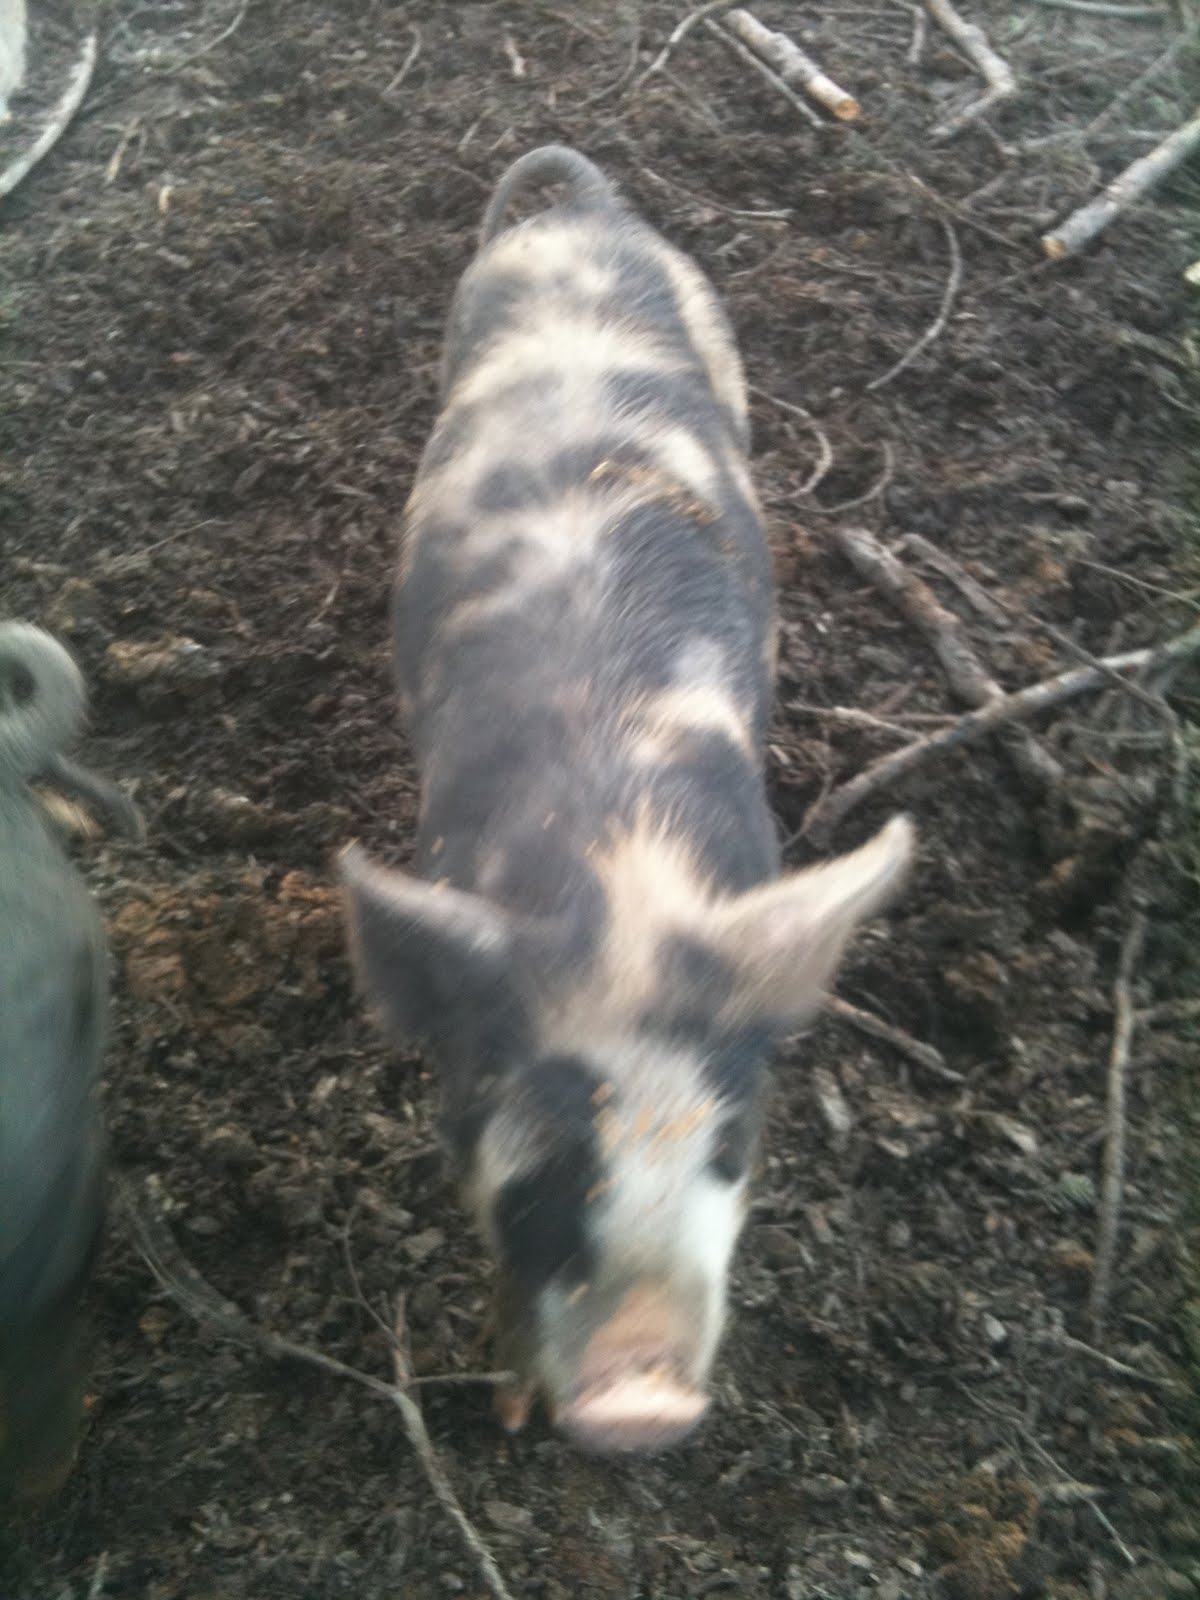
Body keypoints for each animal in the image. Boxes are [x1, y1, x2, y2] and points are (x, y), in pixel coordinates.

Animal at [340, 145, 915, 1453]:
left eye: (731, 1146)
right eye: (549, 1161)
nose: (645, 1397)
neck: (625, 870)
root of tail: (588, 211)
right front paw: (507, 1411)